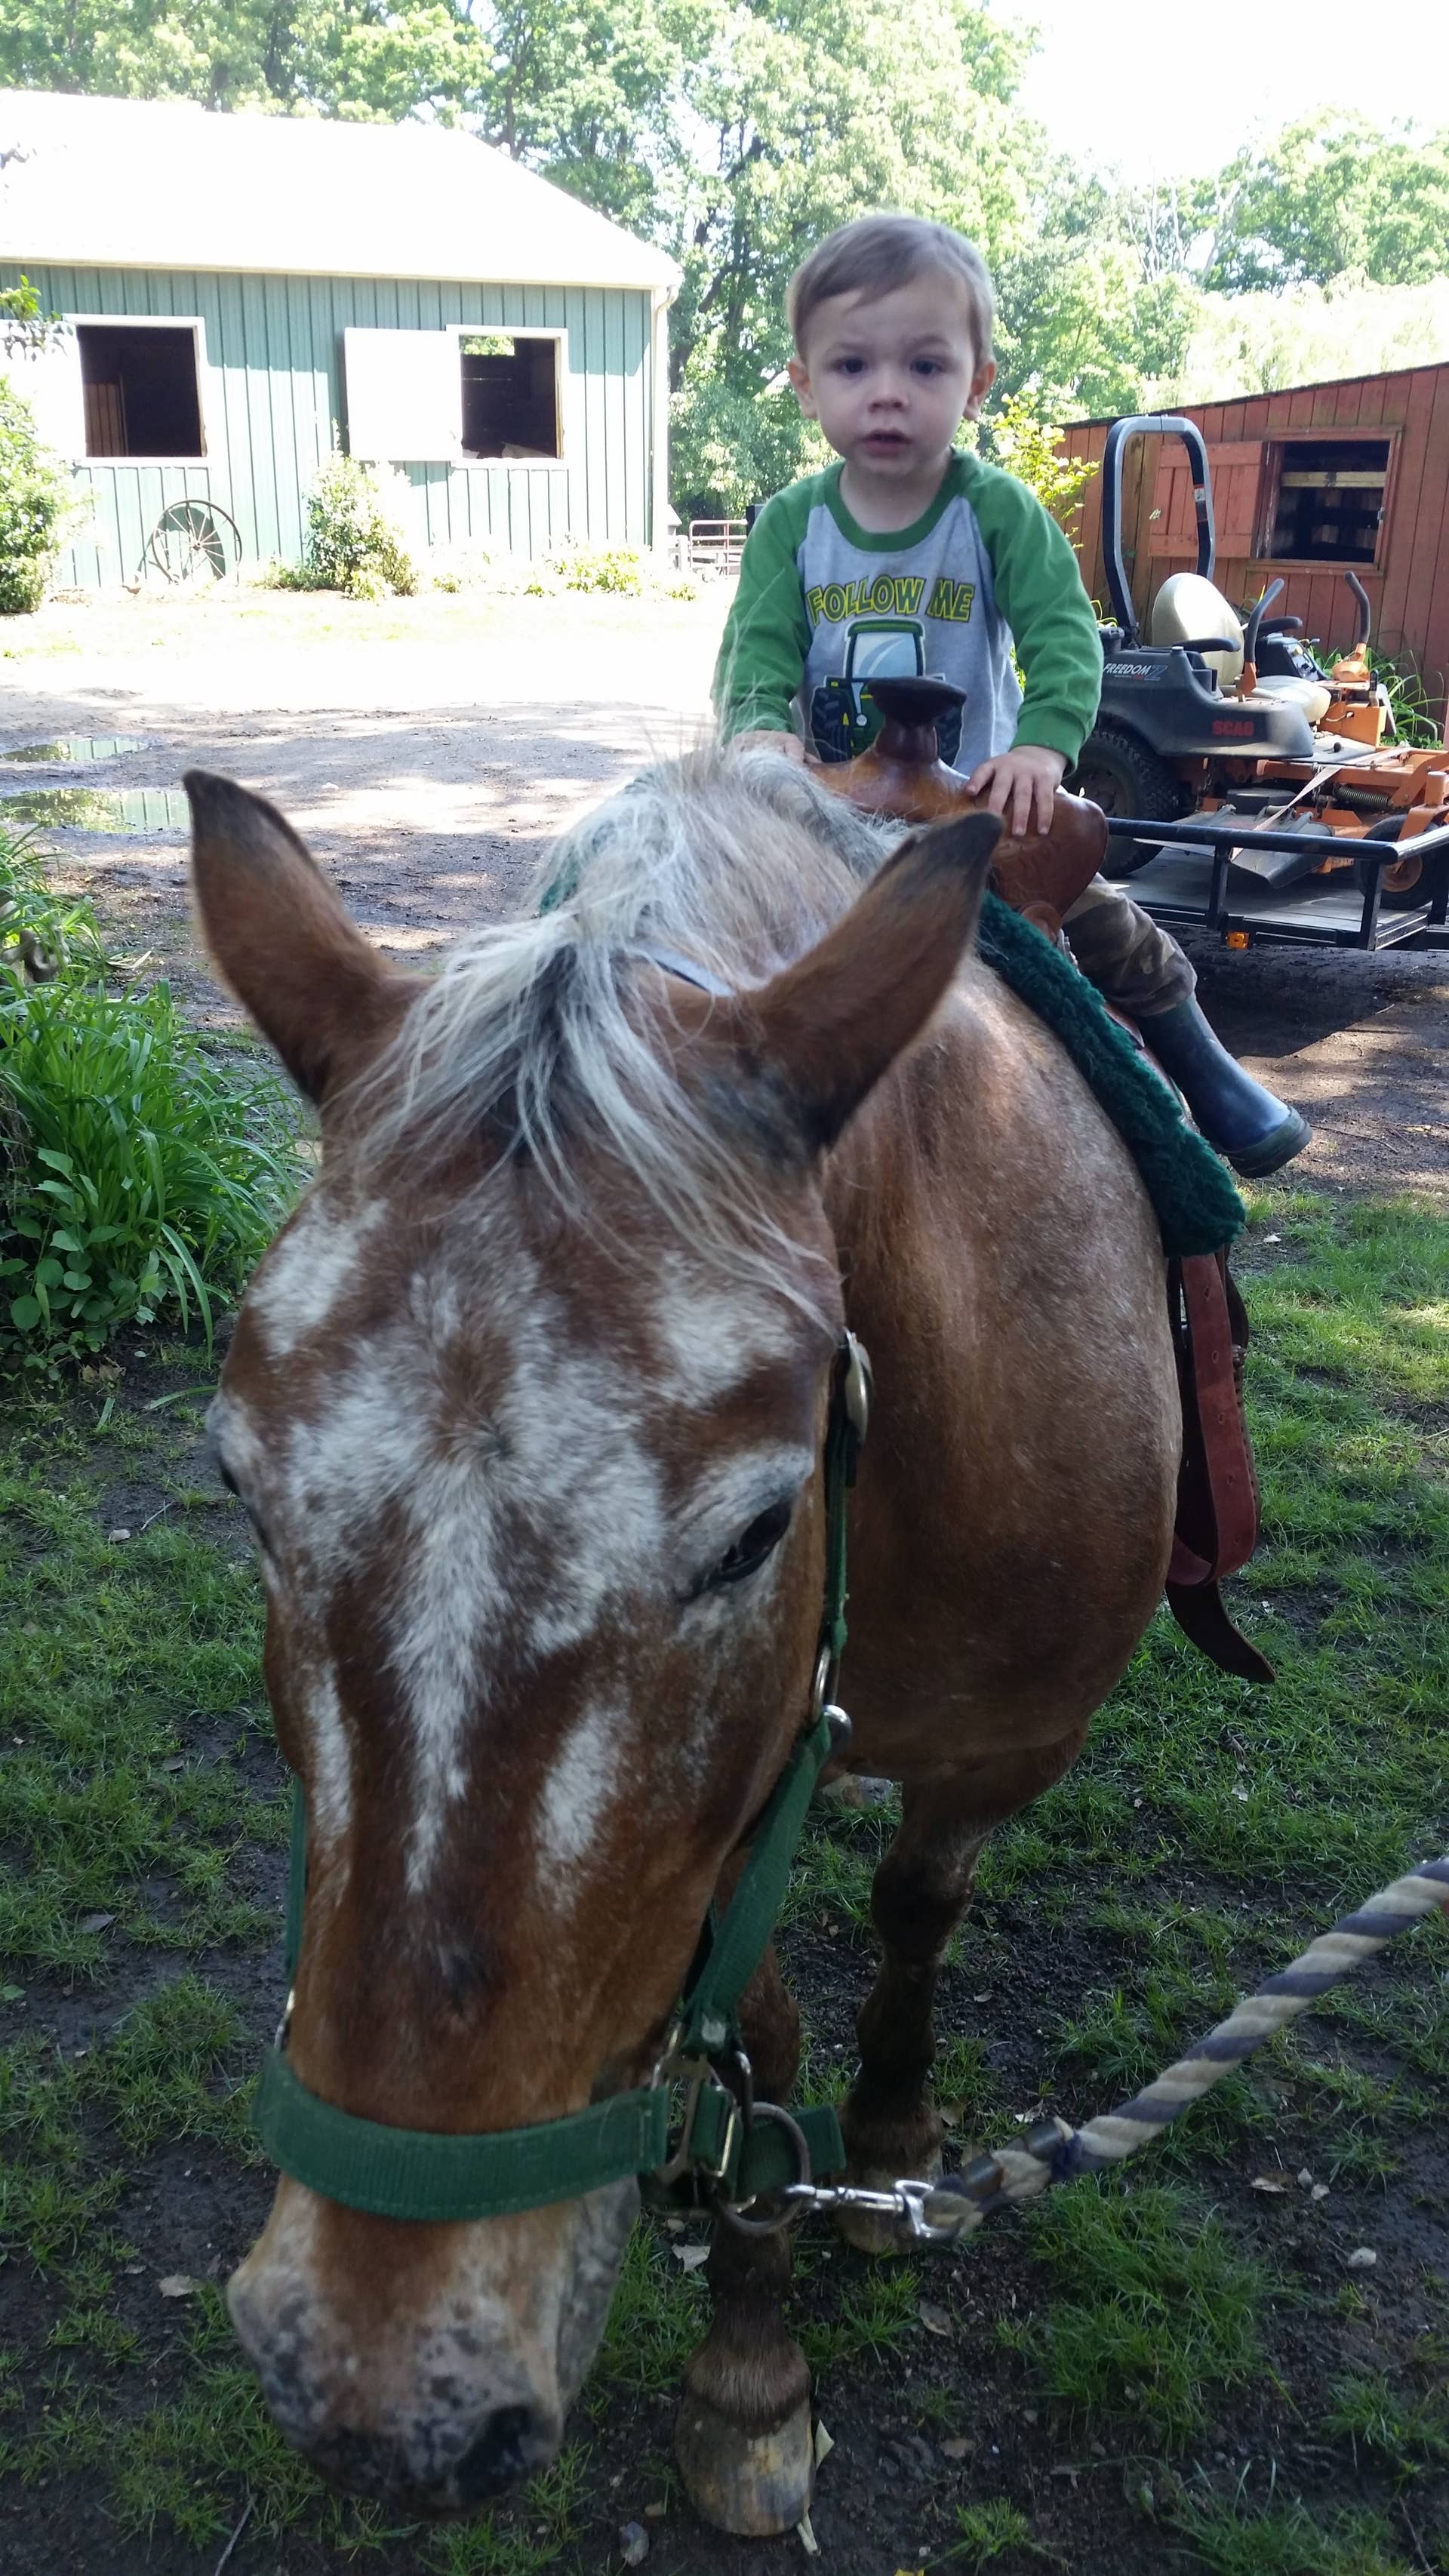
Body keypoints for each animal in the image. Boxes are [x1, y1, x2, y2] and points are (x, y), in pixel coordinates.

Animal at [189, 748, 1180, 2539]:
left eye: (755, 1529)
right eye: (241, 1485)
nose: (379, 2385)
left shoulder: (1000, 1744)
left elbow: (921, 1902)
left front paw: (889, 2132)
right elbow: (755, 2045)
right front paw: (753, 2360)